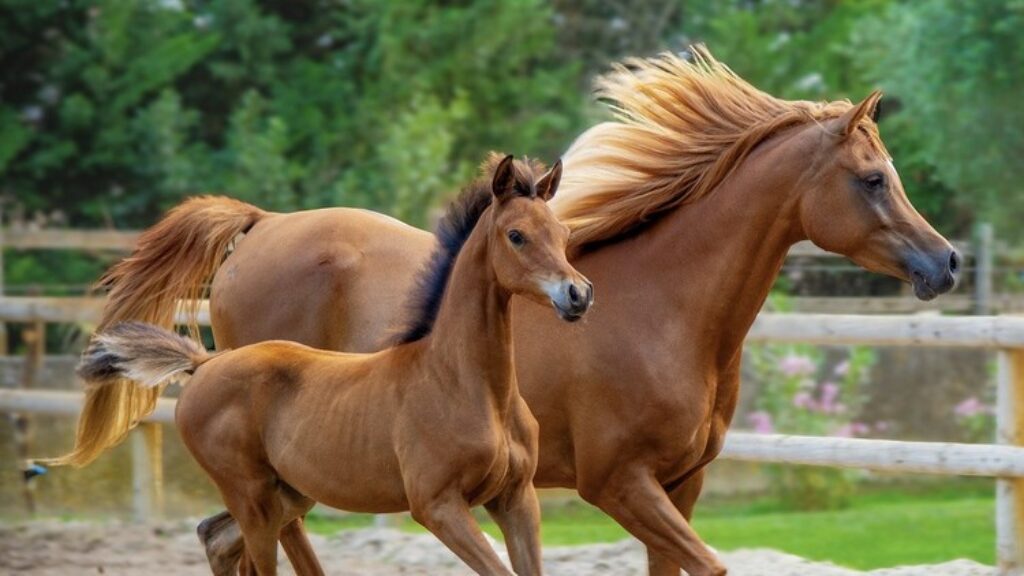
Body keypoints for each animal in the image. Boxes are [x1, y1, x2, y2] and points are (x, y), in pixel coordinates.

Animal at [73, 155, 591, 576]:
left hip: (288, 493)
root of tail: (202, 365)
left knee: (216, 537)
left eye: (563, 233)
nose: (578, 294)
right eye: (516, 236)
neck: (467, 383)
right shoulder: (437, 505)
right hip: (254, 500)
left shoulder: (516, 498)